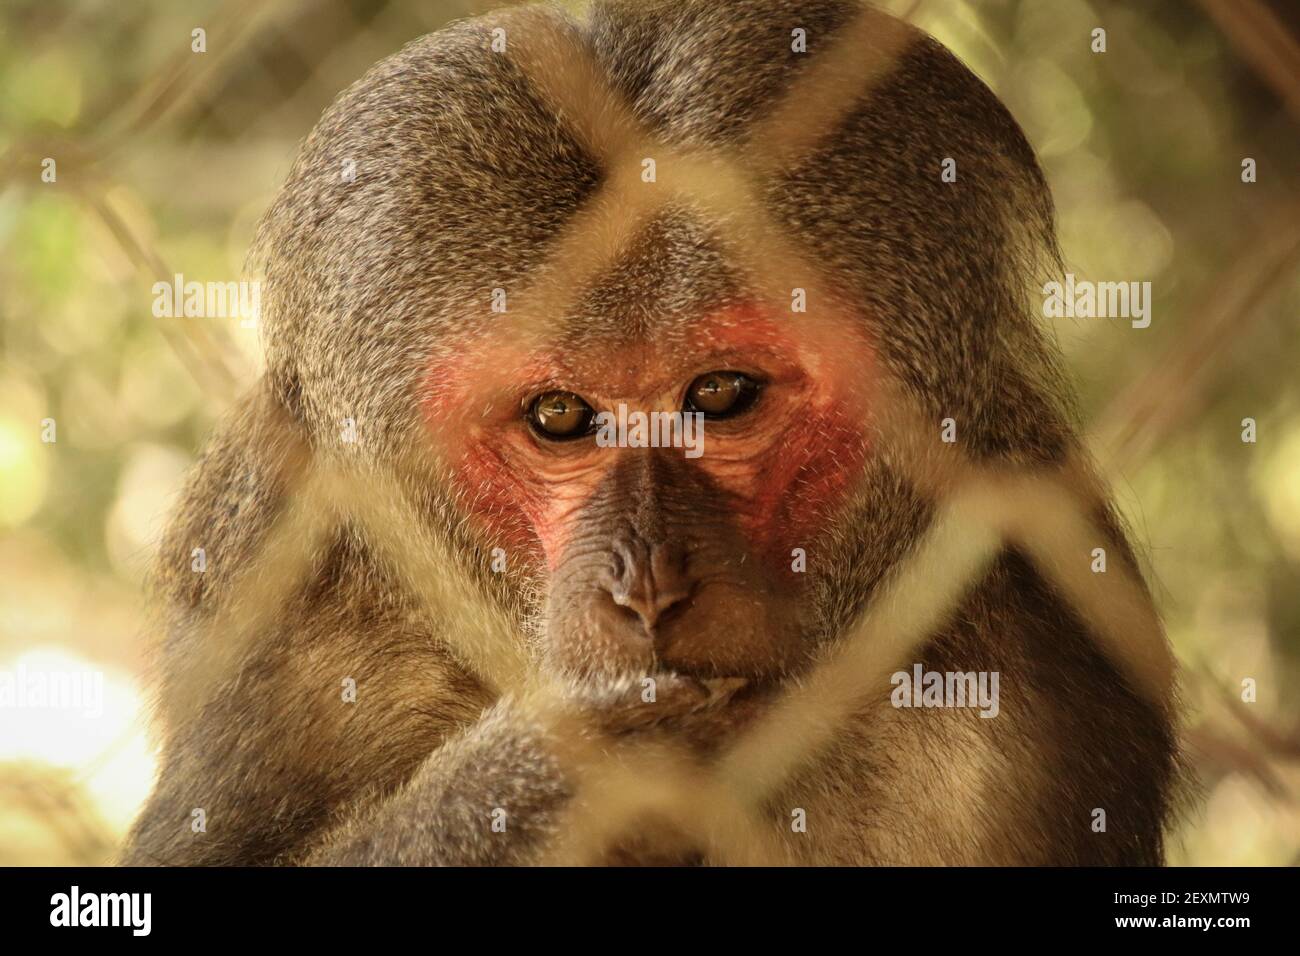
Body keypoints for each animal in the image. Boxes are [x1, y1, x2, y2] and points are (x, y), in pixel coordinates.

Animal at [121, 0, 1179, 867]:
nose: (648, 584)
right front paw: (546, 792)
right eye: (559, 416)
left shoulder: (1038, 646)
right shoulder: (278, 573)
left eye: (719, 394)